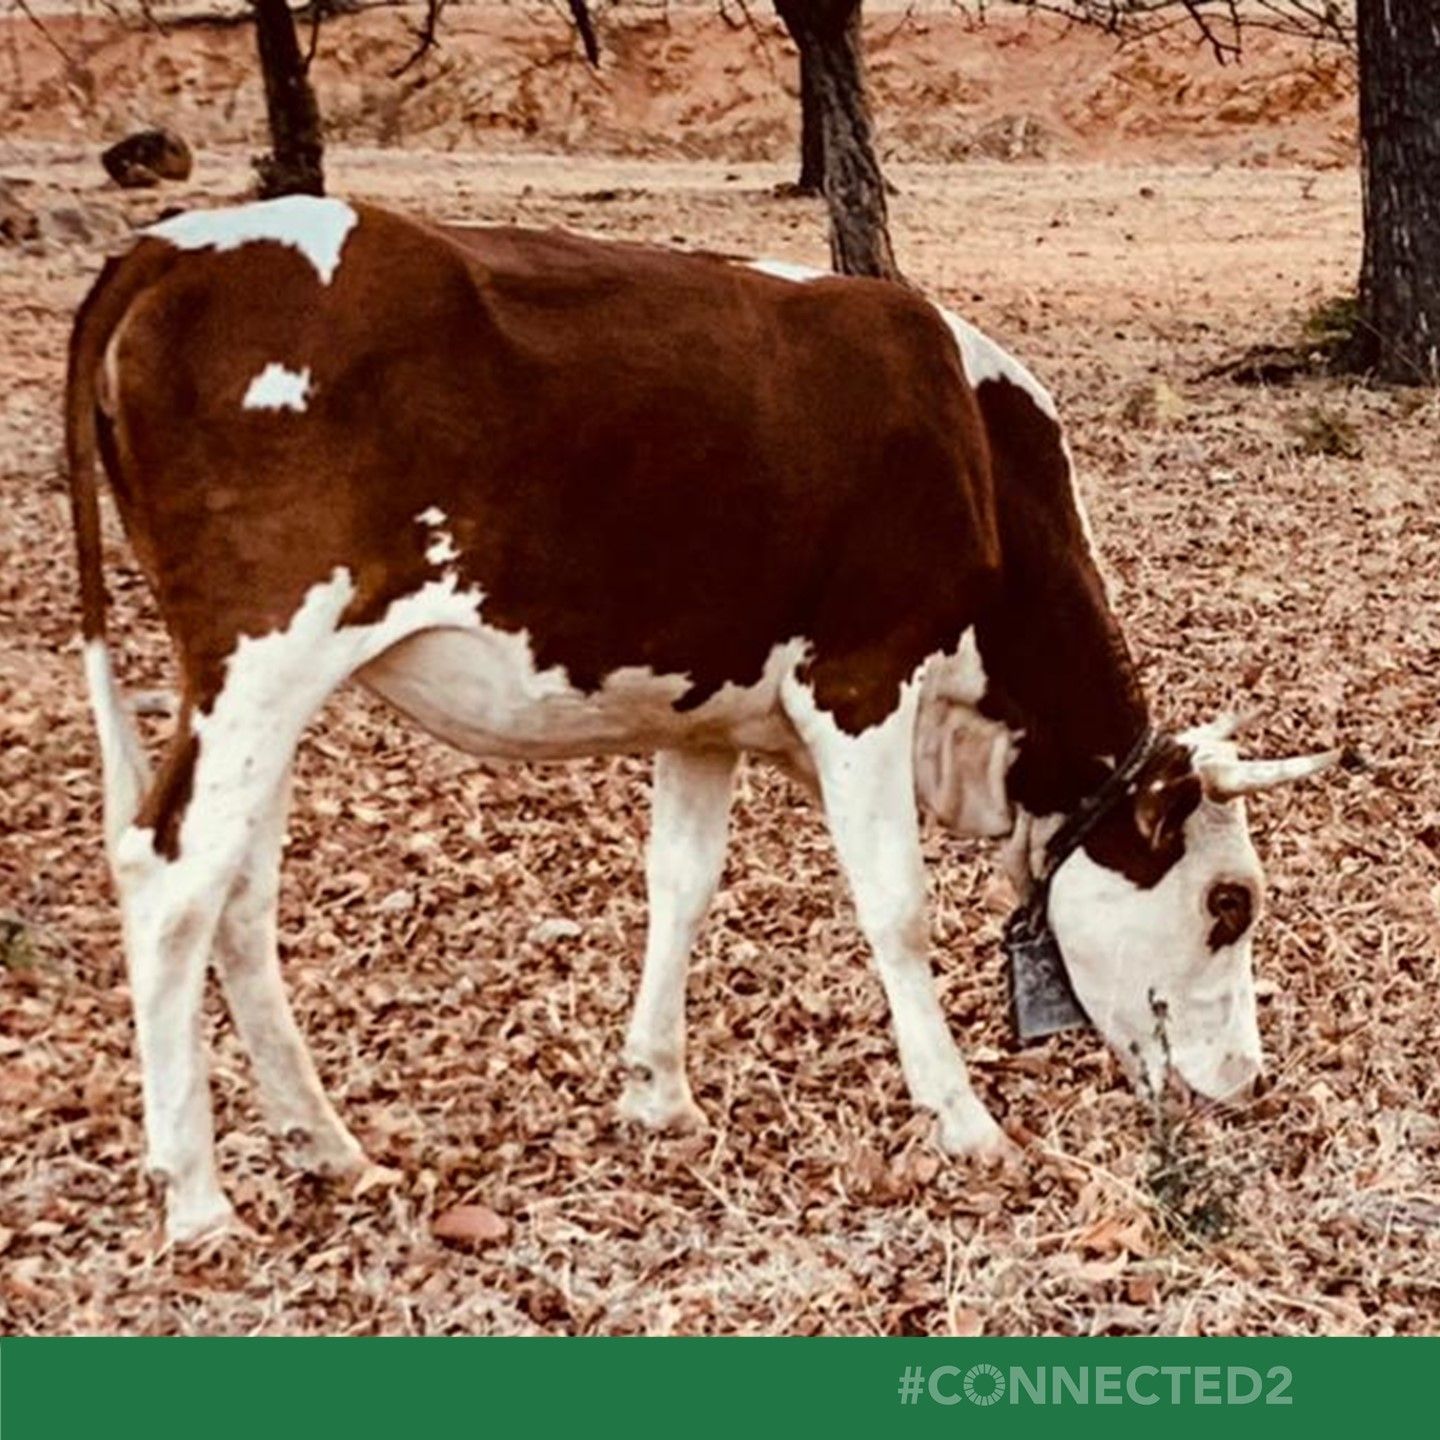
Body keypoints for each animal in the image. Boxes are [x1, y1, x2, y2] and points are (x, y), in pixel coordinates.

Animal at [65, 196, 1338, 1245]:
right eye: (1230, 904)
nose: (1250, 1080)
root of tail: (173, 242)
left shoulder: (702, 718)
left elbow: (680, 884)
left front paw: (658, 1092)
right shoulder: (861, 679)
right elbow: (897, 909)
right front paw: (963, 1118)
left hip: (263, 693)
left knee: (238, 892)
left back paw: (331, 1150)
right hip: (264, 654)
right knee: (171, 877)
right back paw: (196, 1195)